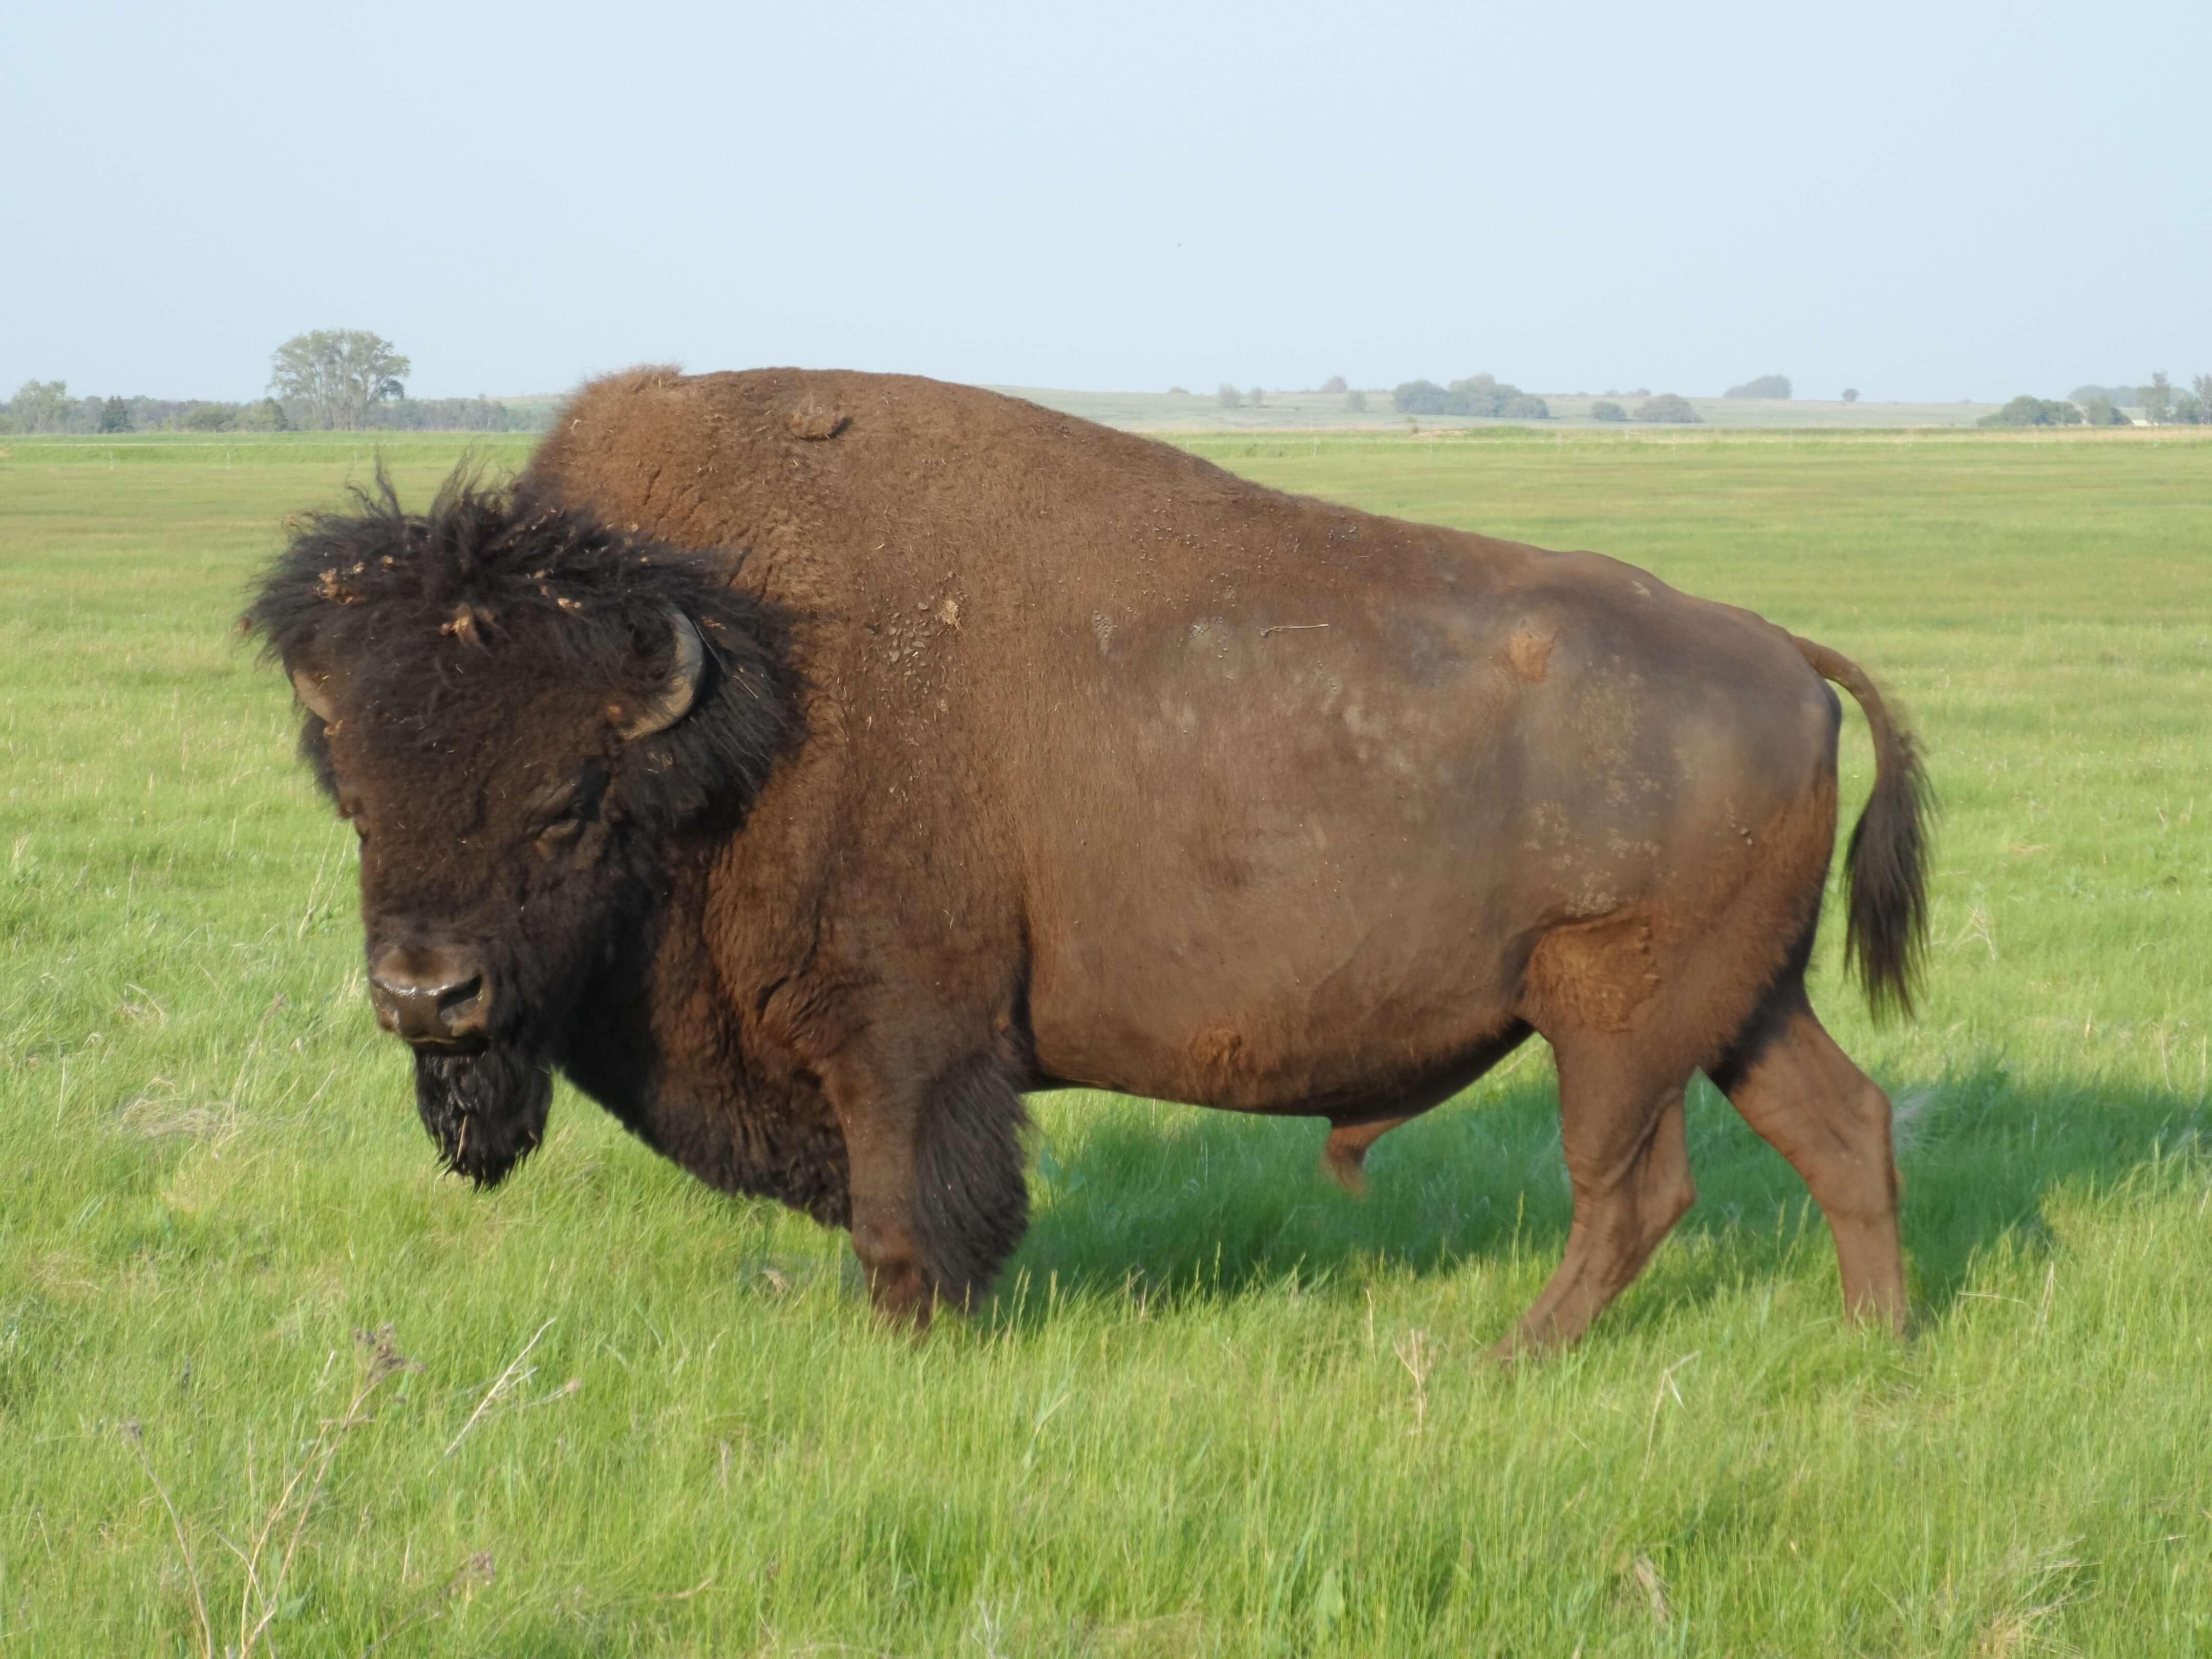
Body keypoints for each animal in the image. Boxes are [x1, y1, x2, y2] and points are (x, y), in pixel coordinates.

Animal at [248, 368, 1930, 1349]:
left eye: (566, 801)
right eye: (358, 800)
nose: (426, 994)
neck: (729, 703)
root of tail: (1779, 650)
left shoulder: (906, 1046)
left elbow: (906, 1218)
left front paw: (911, 1343)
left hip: (1616, 1019)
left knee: (1631, 1187)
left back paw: (1510, 1352)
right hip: (1742, 1004)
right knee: (1840, 1128)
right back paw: (1876, 1342)